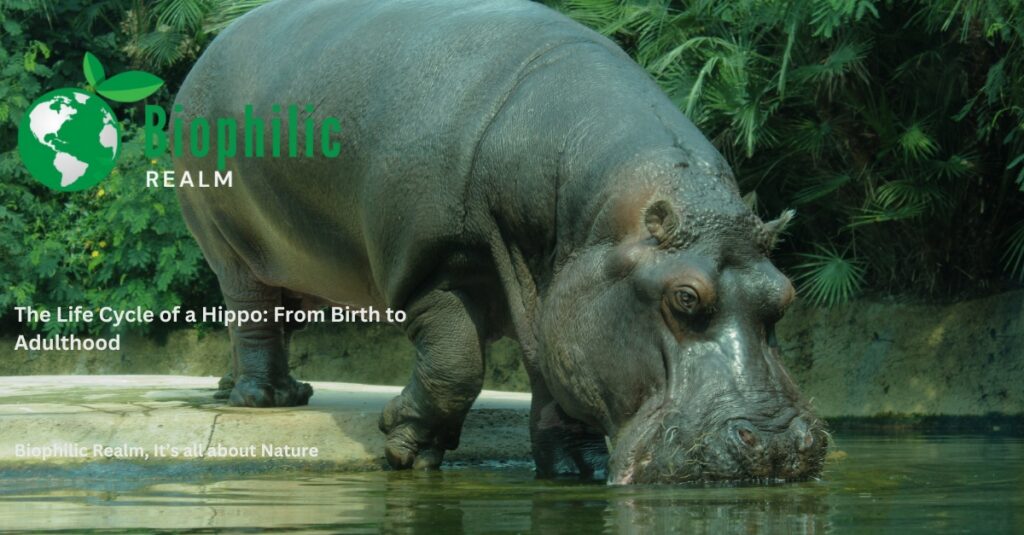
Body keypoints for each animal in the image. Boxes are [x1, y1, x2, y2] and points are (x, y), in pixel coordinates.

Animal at [173, 0, 827, 483]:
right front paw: (404, 447)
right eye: (684, 297)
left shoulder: (553, 292)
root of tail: (214, 45)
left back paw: (261, 390)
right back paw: (263, 400)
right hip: (226, 242)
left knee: (276, 319)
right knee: (251, 312)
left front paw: (578, 468)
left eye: (786, 294)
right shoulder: (432, 267)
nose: (778, 445)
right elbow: (457, 365)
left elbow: (557, 381)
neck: (596, 221)